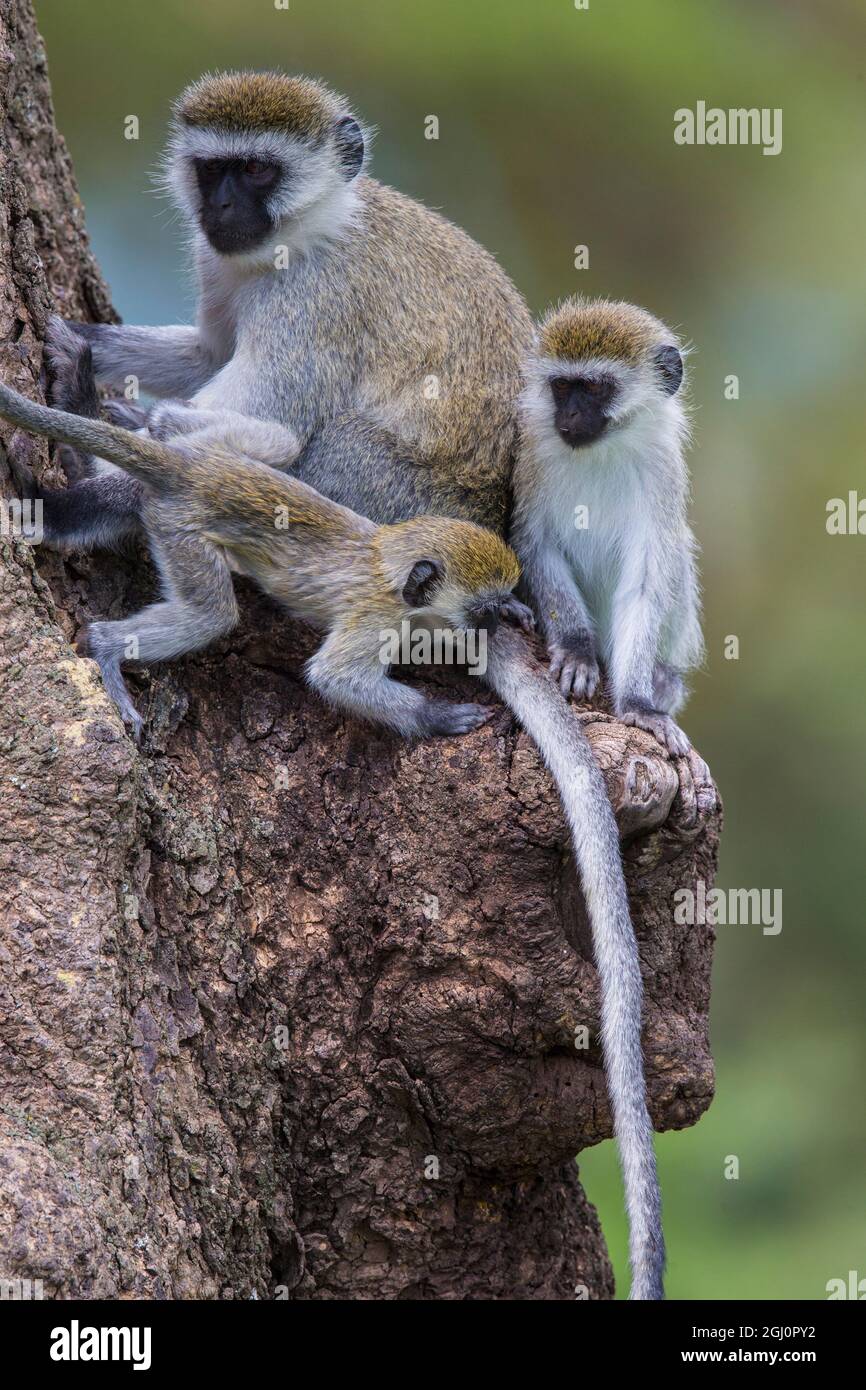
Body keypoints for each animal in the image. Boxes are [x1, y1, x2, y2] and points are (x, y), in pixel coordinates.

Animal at [0, 369, 534, 741]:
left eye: (497, 605)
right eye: (481, 612)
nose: (495, 624)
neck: (388, 557)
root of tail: (194, 468)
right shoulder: (377, 617)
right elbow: (336, 678)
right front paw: (435, 716)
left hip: (223, 448)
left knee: (271, 440)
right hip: (180, 526)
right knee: (209, 615)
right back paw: (107, 644)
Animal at [512, 296, 704, 757]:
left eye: (596, 387)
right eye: (562, 387)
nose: (570, 414)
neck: (601, 450)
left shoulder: (662, 471)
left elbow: (645, 581)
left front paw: (638, 702)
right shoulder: (532, 456)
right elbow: (536, 545)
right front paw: (577, 649)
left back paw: (661, 679)